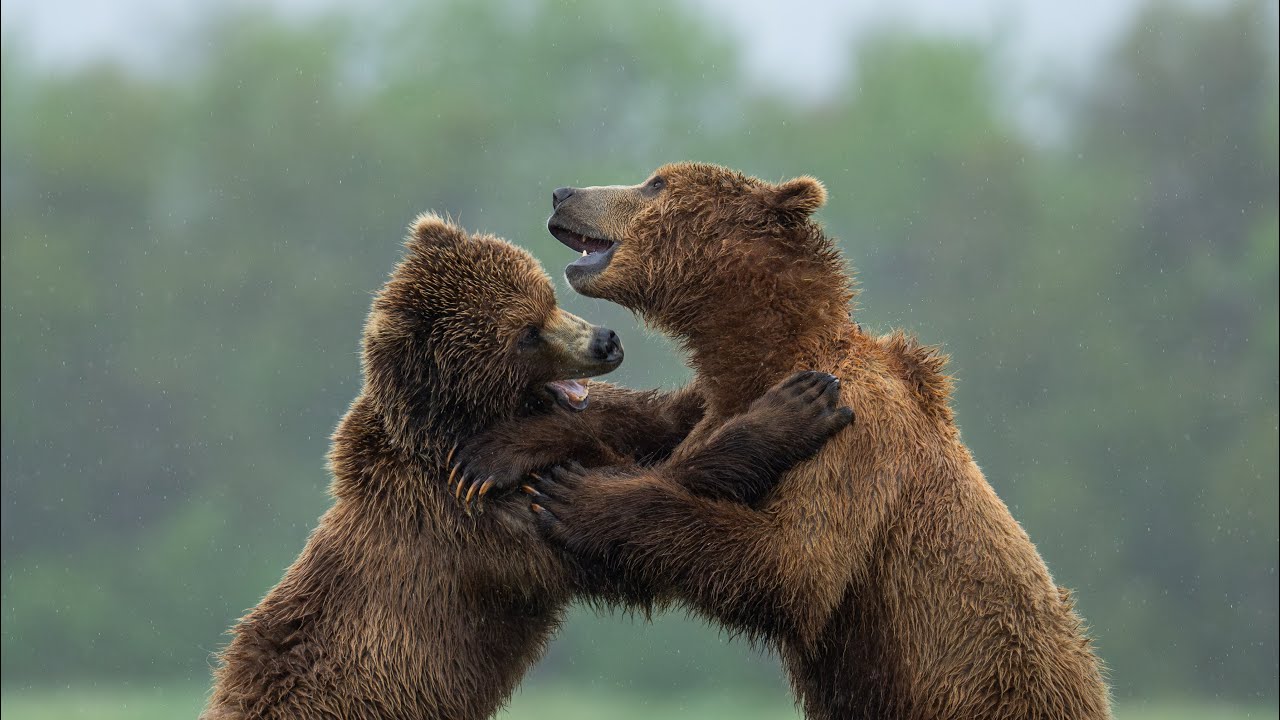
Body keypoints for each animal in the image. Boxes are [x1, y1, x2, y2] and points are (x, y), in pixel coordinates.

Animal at [201, 213, 853, 720]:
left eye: (547, 296)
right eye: (526, 333)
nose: (607, 341)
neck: (461, 426)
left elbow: (643, 424)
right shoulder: (478, 524)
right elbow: (627, 516)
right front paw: (794, 408)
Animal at [460, 163, 1113, 720]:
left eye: (655, 182)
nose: (563, 192)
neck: (771, 351)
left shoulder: (857, 427)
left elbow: (792, 562)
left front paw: (579, 496)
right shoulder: (714, 406)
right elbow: (668, 440)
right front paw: (515, 444)